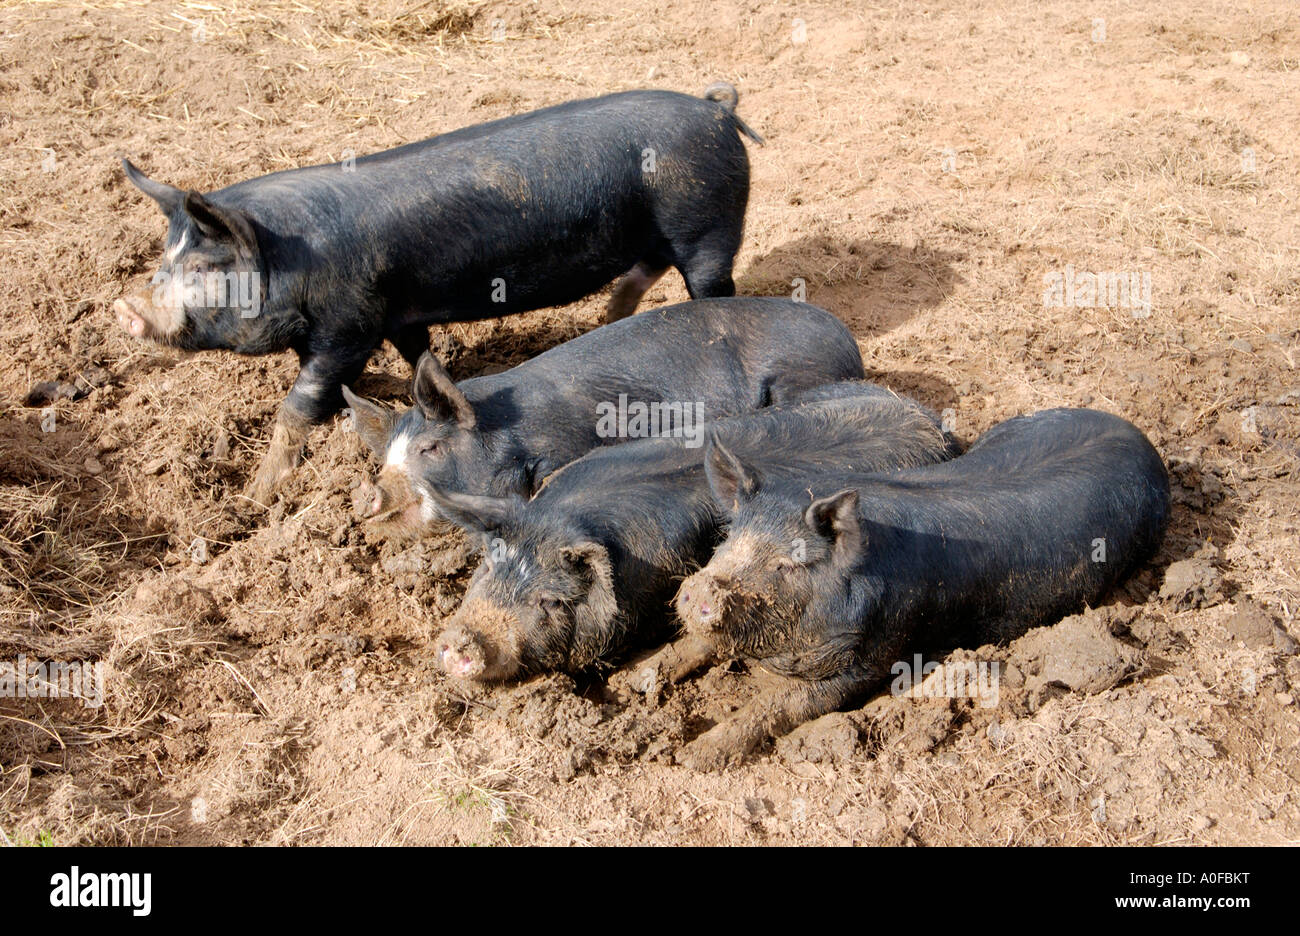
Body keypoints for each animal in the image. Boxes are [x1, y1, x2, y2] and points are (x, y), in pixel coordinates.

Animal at [113, 84, 763, 503]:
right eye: (164, 257)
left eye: (205, 264)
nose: (125, 307)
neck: (290, 260)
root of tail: (717, 109)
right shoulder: (396, 313)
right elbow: (417, 352)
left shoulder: (348, 327)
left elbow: (300, 404)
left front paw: (260, 492)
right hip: (662, 229)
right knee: (644, 269)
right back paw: (609, 317)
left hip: (706, 222)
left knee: (707, 281)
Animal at [342, 296, 867, 536]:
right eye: (386, 456)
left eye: (430, 448)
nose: (367, 491)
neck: (509, 434)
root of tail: (846, 338)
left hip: (800, 374)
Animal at [673, 407, 1171, 770]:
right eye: (728, 540)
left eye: (785, 565)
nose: (701, 590)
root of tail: (1139, 437)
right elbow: (693, 648)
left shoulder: (869, 657)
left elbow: (773, 706)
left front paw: (690, 757)